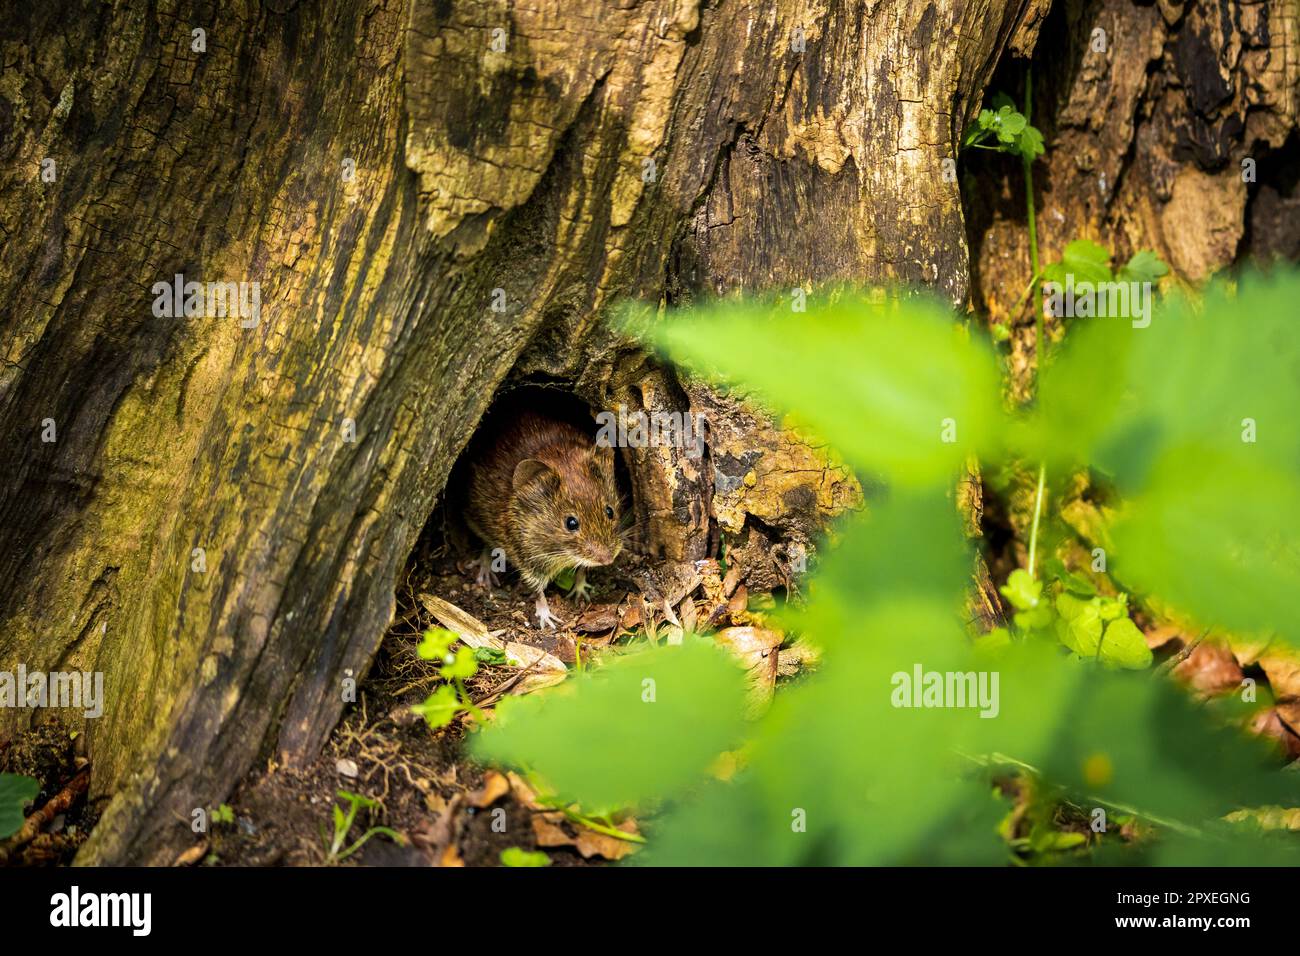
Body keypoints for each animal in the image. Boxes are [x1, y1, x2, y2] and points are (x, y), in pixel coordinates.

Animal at [464, 410, 623, 629]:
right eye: (571, 523)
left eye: (610, 511)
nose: (607, 559)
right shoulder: (529, 558)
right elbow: (538, 590)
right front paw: (546, 617)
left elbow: (581, 569)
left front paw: (581, 590)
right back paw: (485, 572)